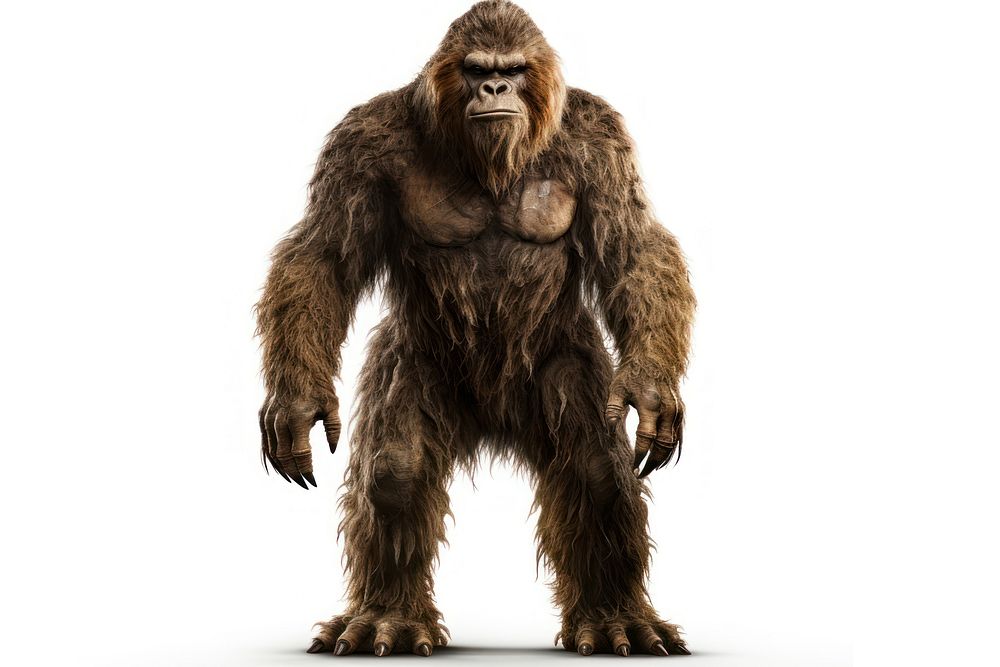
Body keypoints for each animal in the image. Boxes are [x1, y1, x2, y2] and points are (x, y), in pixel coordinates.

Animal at [255, 0, 695, 657]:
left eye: (512, 70)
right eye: (476, 70)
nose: (494, 89)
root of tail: (492, 422)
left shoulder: (601, 138)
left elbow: (633, 249)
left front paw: (653, 389)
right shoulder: (360, 140)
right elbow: (322, 257)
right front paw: (295, 400)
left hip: (561, 371)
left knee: (596, 469)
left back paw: (615, 620)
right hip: (417, 363)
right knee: (396, 467)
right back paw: (387, 618)